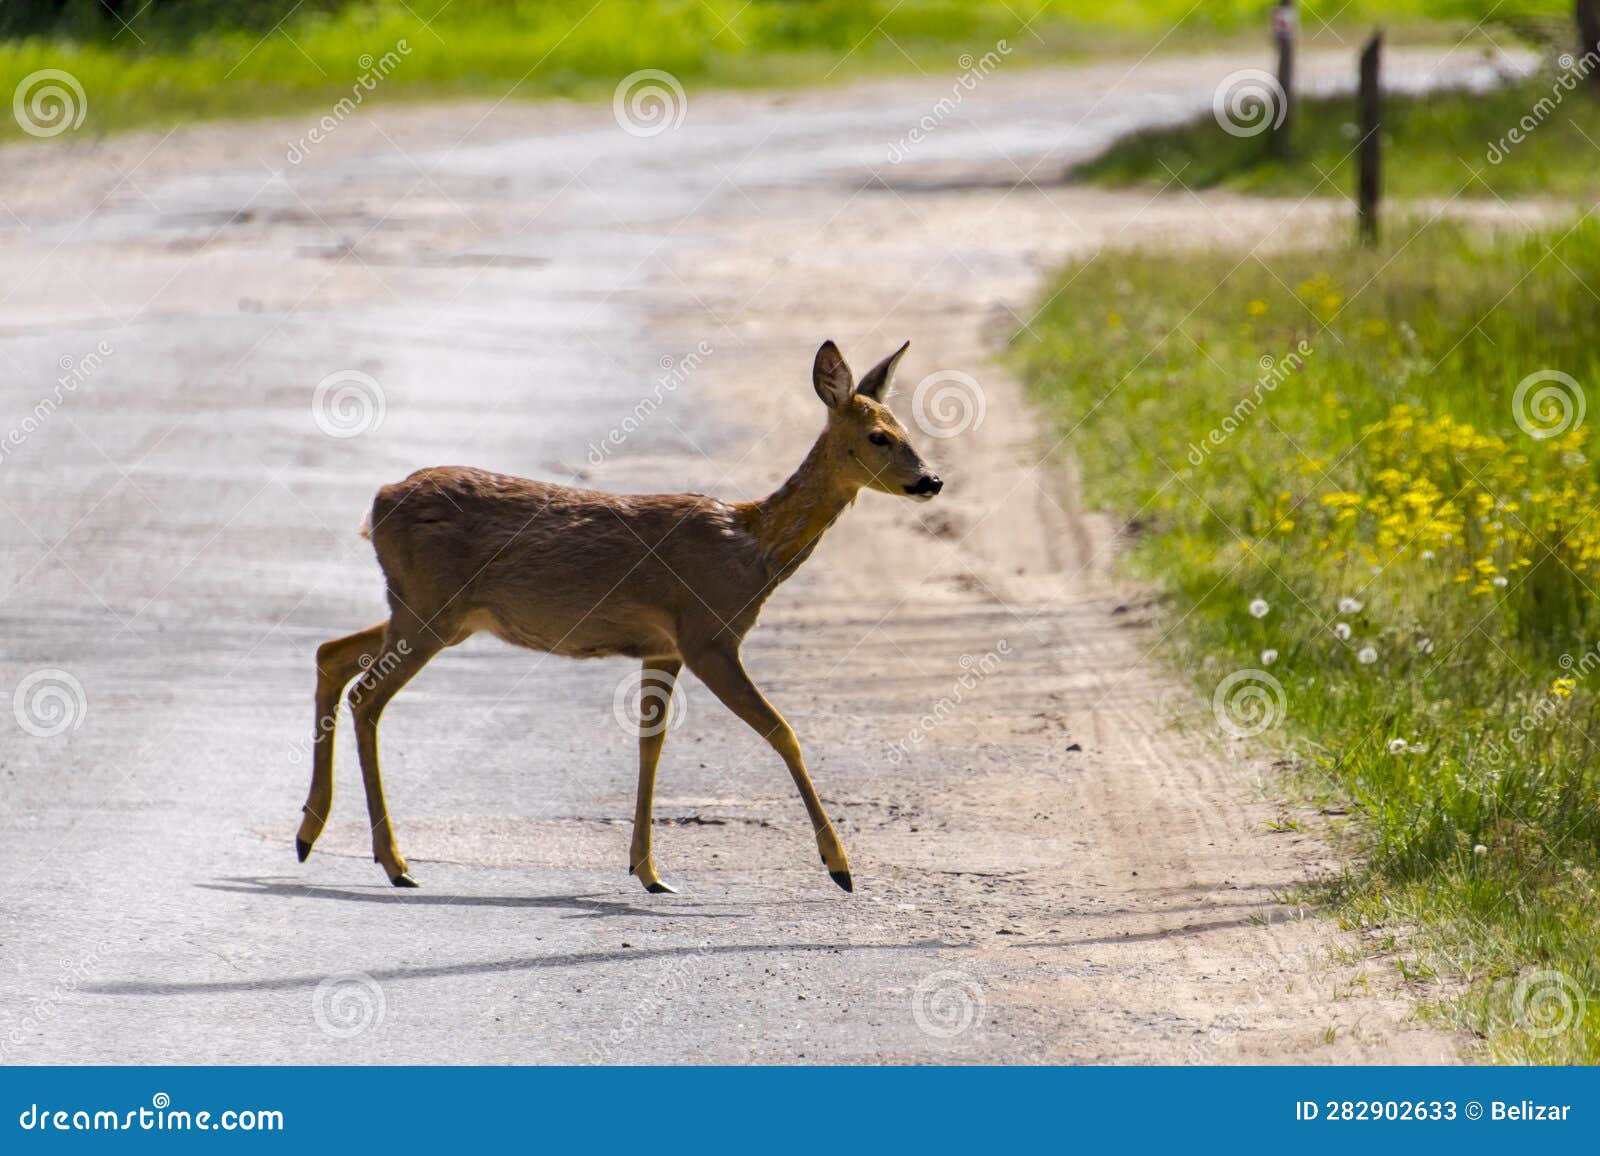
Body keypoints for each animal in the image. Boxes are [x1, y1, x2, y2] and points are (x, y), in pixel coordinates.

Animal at [295, 340, 943, 895]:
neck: (752, 548)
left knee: (332, 655)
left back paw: (310, 834)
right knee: (368, 696)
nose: (931, 479)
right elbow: (782, 731)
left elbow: (650, 742)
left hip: (431, 612)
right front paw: (840, 867)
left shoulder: (665, 646)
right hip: (430, 609)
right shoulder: (708, 635)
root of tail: (378, 502)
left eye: (910, 430)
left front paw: (649, 871)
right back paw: (393, 862)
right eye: (879, 436)